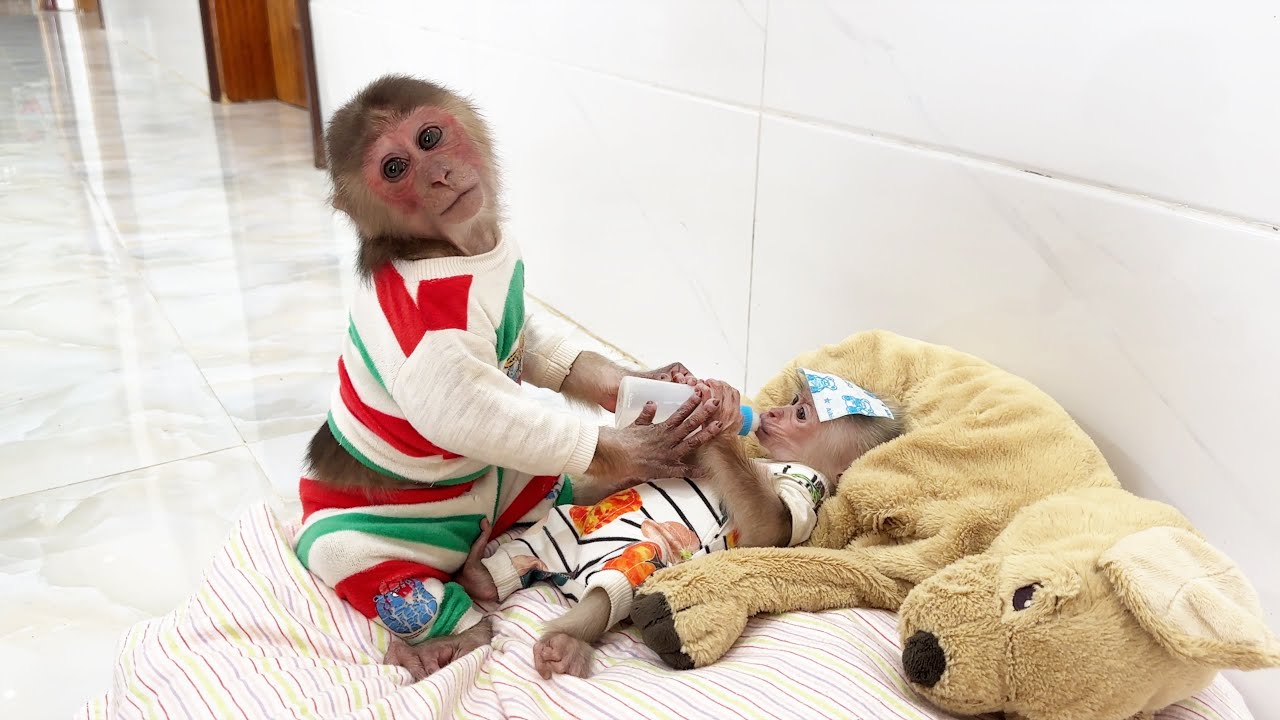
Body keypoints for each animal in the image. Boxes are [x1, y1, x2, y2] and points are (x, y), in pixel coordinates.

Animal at [293, 74, 733, 679]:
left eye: (429, 138)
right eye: (394, 168)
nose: (438, 174)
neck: (453, 251)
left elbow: (544, 350)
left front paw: (661, 380)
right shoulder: (421, 320)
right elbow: (467, 409)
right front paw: (634, 446)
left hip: (513, 489)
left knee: (551, 491)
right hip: (369, 528)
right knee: (360, 559)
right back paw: (439, 637)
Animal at [452, 370, 906, 679]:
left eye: (800, 413)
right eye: (797, 401)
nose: (770, 413)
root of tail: (569, 574)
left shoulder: (803, 491)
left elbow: (769, 526)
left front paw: (719, 415)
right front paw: (699, 396)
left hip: (637, 559)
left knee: (610, 591)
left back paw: (565, 645)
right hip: (557, 527)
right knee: (524, 550)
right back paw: (482, 575)